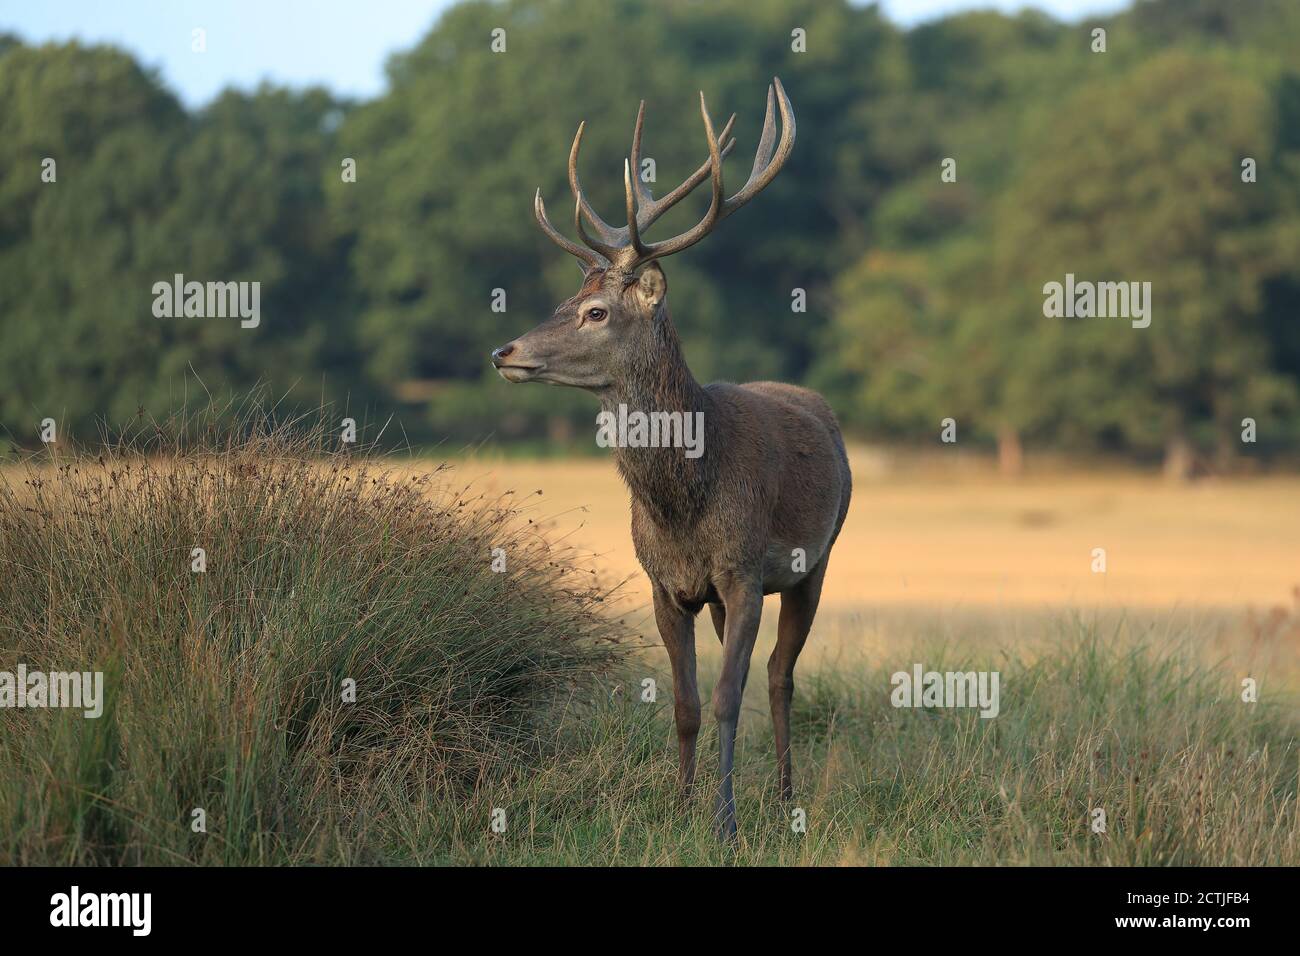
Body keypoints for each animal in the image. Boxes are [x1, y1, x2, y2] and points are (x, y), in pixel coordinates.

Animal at [491, 78, 851, 839]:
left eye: (596, 311)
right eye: (567, 298)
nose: (504, 351)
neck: (685, 500)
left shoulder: (743, 571)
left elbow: (726, 698)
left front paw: (725, 823)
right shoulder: (664, 584)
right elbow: (686, 704)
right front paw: (680, 808)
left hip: (817, 560)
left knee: (779, 675)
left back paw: (784, 795)